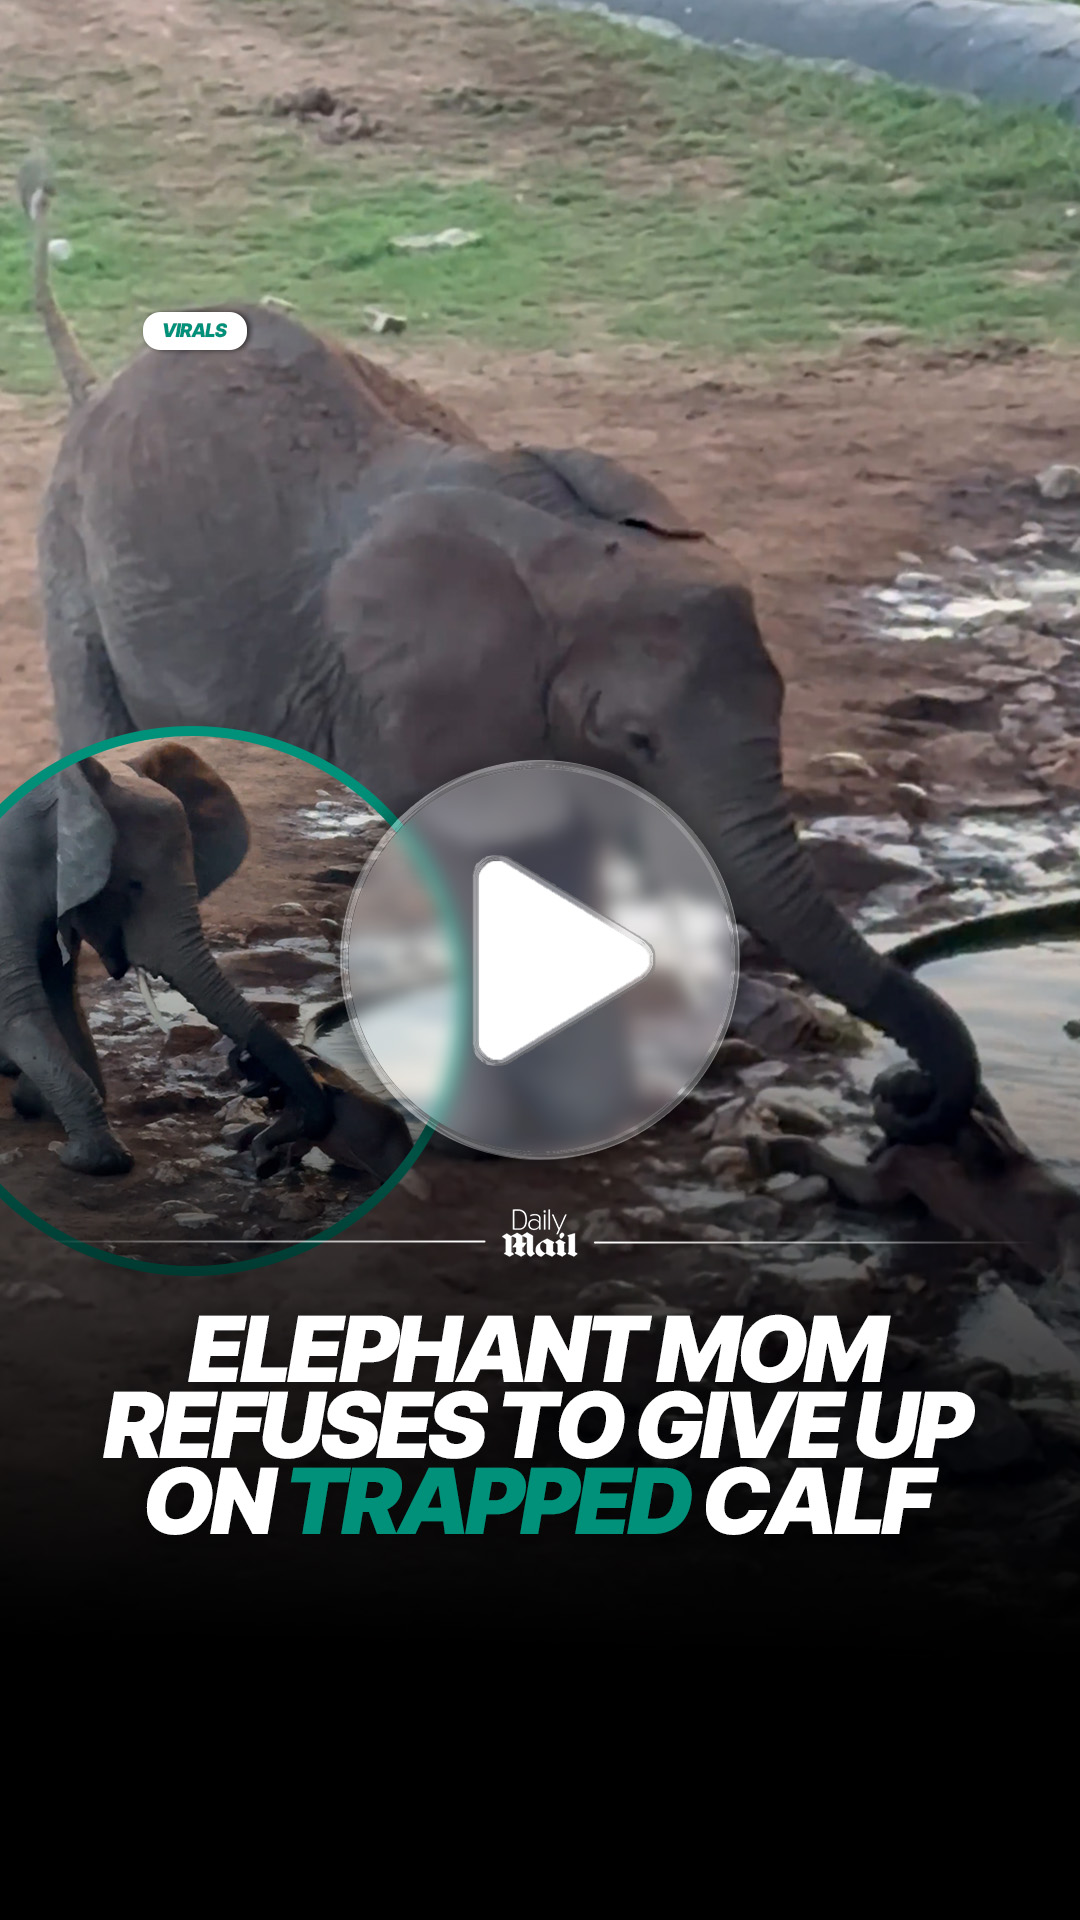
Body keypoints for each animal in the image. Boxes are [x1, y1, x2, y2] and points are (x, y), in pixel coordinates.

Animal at [22, 161, 982, 1147]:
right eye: (637, 739)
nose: (904, 1099)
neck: (566, 559)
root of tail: (99, 386)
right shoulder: (423, 705)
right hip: (70, 549)